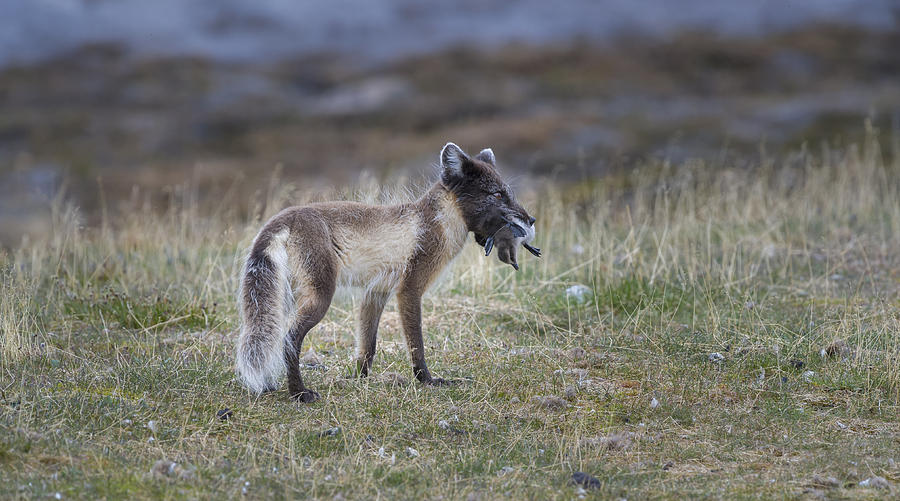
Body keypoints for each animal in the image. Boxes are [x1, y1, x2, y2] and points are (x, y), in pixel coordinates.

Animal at [235, 142, 538, 402]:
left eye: (508, 192)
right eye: (497, 194)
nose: (531, 219)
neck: (437, 223)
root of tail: (284, 217)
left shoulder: (376, 293)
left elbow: (367, 346)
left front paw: (358, 379)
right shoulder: (409, 290)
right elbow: (417, 345)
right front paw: (427, 380)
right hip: (320, 297)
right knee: (288, 339)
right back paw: (299, 393)